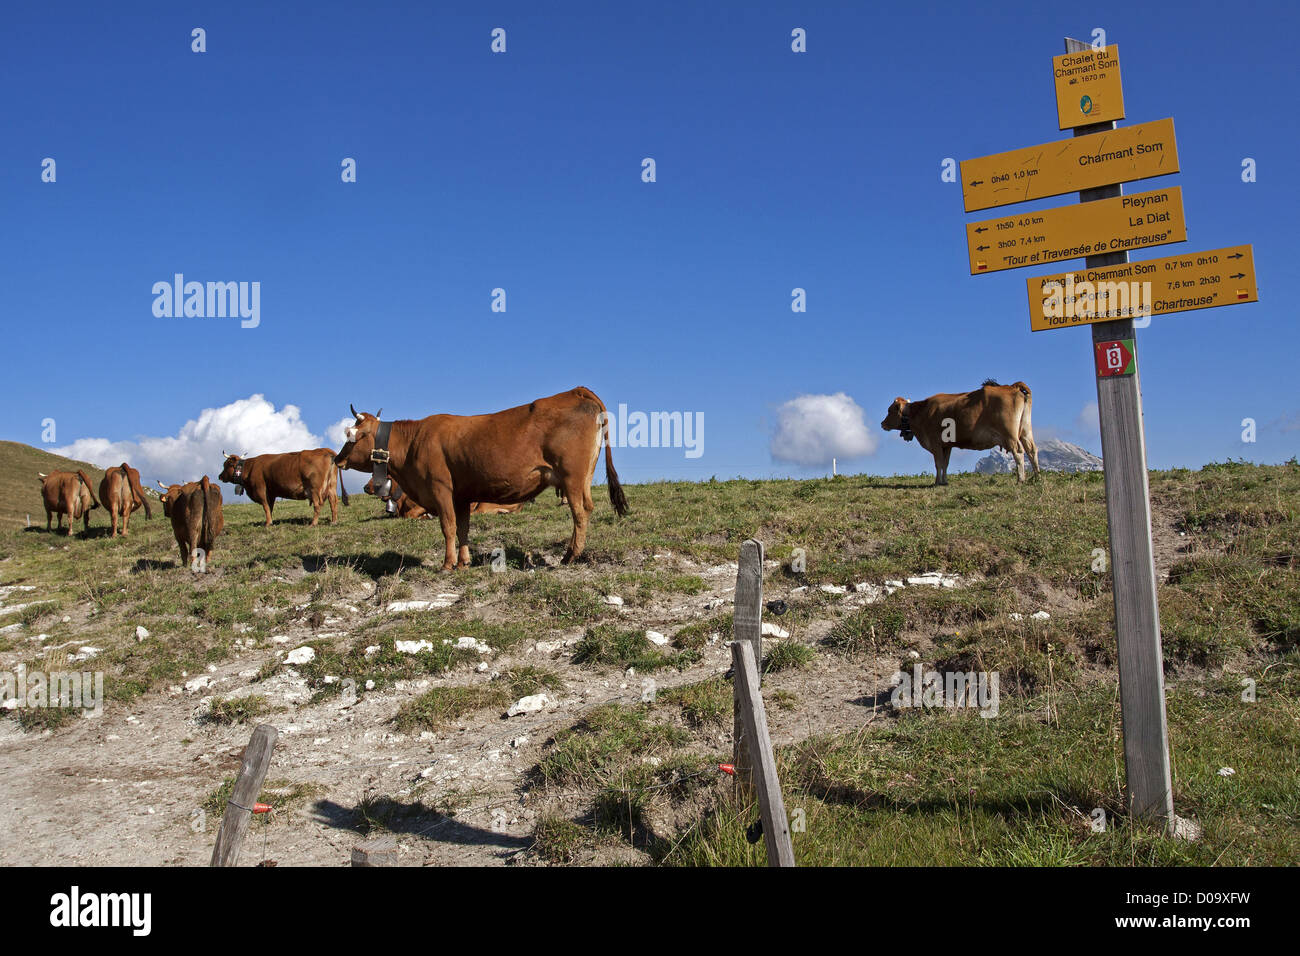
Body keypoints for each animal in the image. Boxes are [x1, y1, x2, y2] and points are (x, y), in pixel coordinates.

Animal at [218, 448, 350, 526]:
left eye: (226, 465)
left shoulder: (260, 489)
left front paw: (267, 523)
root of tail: (325, 450)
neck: (250, 467)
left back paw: (313, 523)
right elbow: (270, 507)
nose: (220, 476)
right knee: (333, 502)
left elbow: (265, 506)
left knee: (318, 505)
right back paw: (333, 521)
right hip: (331, 486)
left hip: (315, 489)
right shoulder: (271, 493)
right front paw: (270, 521)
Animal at [880, 379, 1040, 485]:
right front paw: (944, 481)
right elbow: (945, 464)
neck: (921, 412)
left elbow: (938, 463)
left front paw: (937, 482)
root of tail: (1012, 386)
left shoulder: (935, 443)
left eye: (889, 410)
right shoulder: (947, 445)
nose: (882, 423)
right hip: (1025, 431)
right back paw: (1037, 477)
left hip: (1010, 435)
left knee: (1019, 452)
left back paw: (1021, 480)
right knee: (1032, 450)